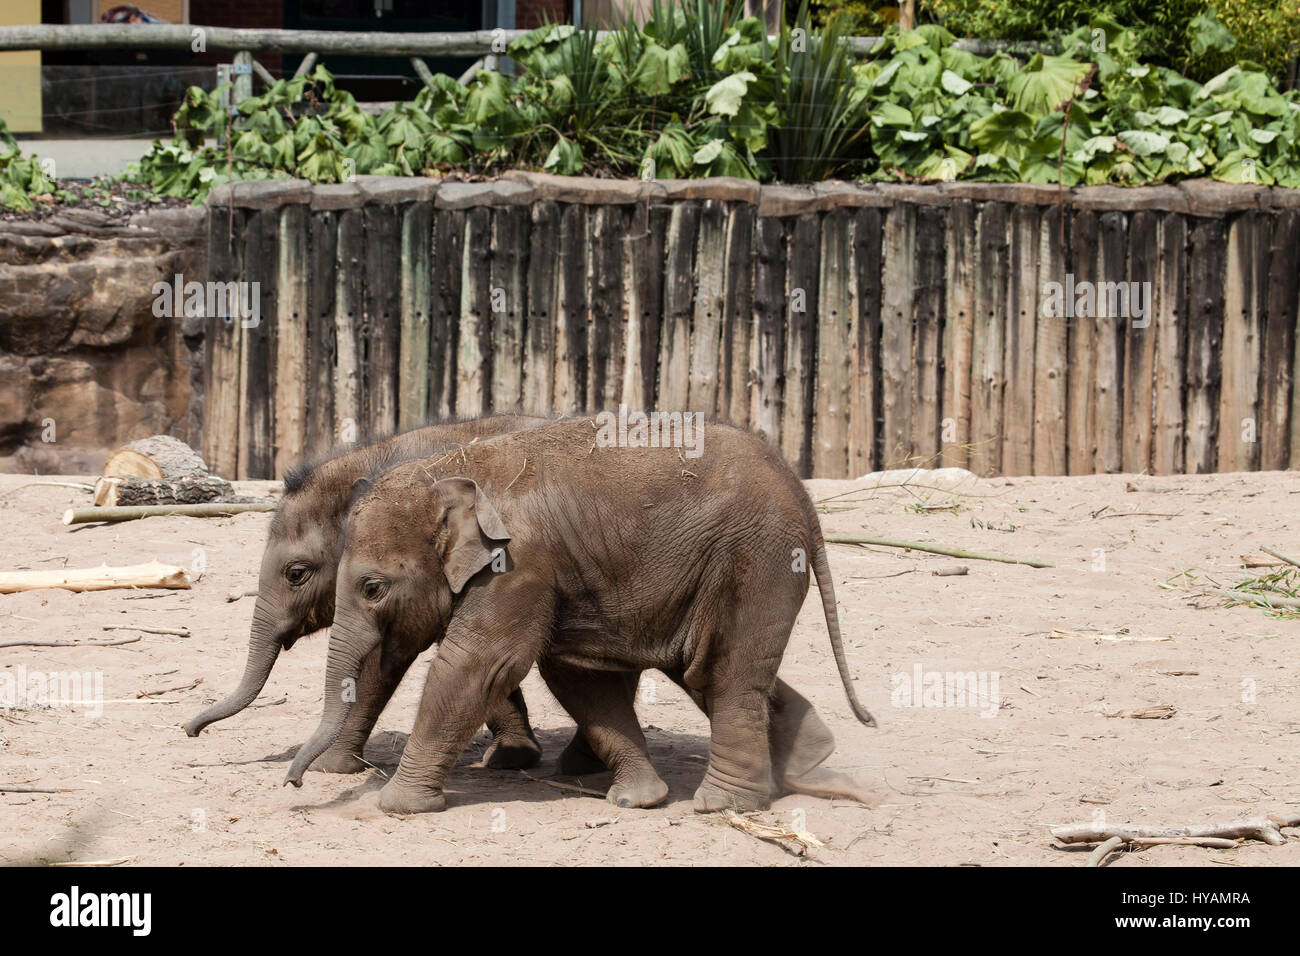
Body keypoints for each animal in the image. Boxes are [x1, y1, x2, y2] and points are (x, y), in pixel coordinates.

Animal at [283, 416, 875, 814]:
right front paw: (639, 799)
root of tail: (803, 496)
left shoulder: (518, 566)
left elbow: (479, 664)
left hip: (756, 560)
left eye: (373, 588)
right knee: (697, 669)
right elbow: (576, 674)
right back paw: (812, 764)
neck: (450, 470)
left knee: (724, 672)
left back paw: (724, 804)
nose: (292, 785)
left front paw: (398, 806)